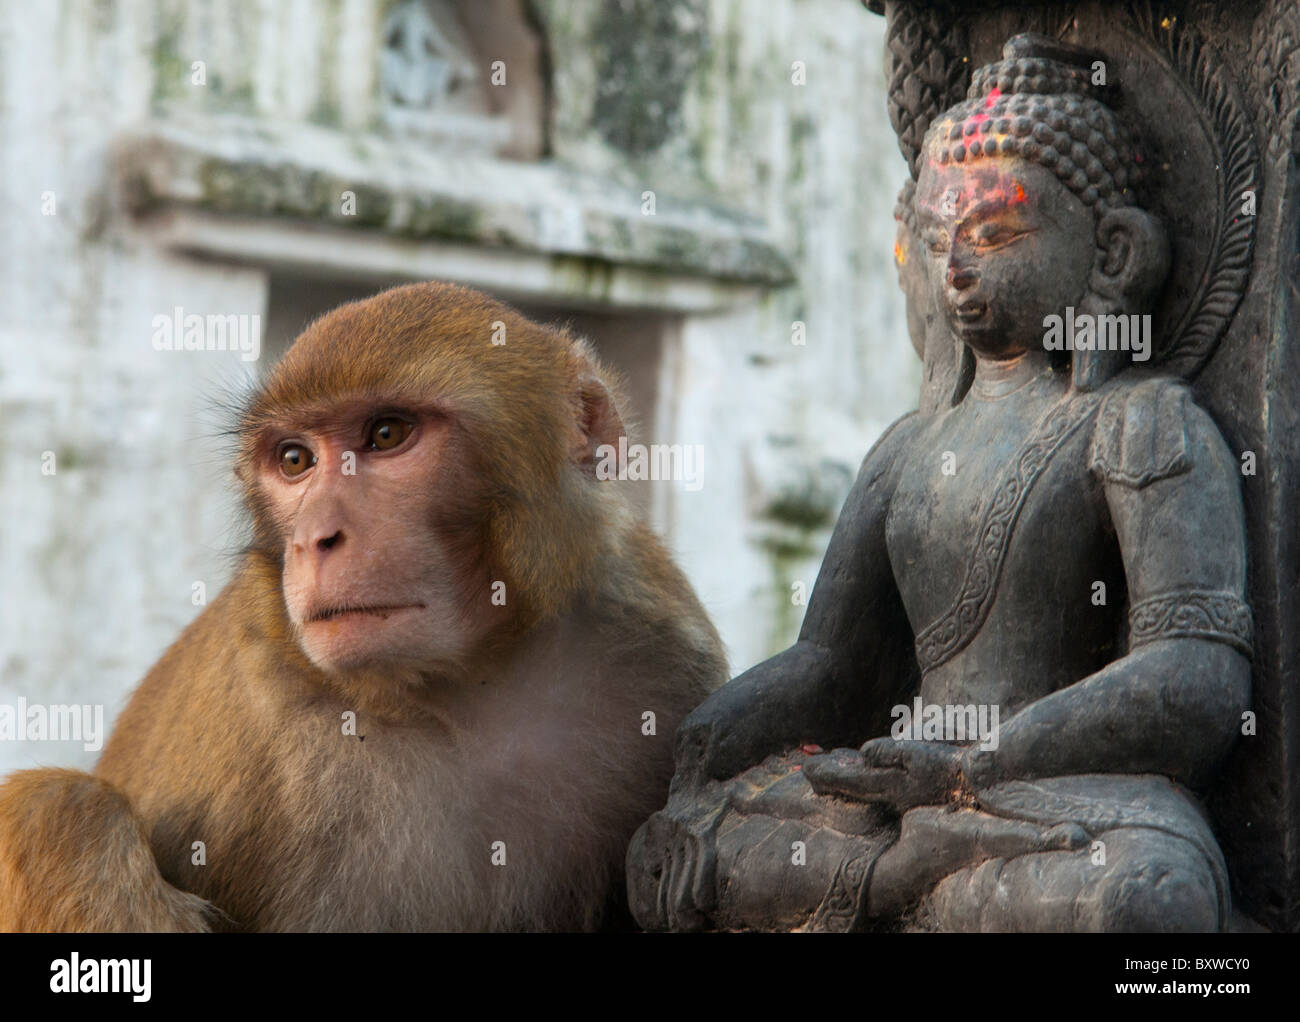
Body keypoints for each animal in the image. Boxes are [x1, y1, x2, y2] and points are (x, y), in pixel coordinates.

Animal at [0, 281, 726, 932]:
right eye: (295, 459)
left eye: (386, 434)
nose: (314, 539)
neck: (466, 688)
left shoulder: (662, 656)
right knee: (62, 811)